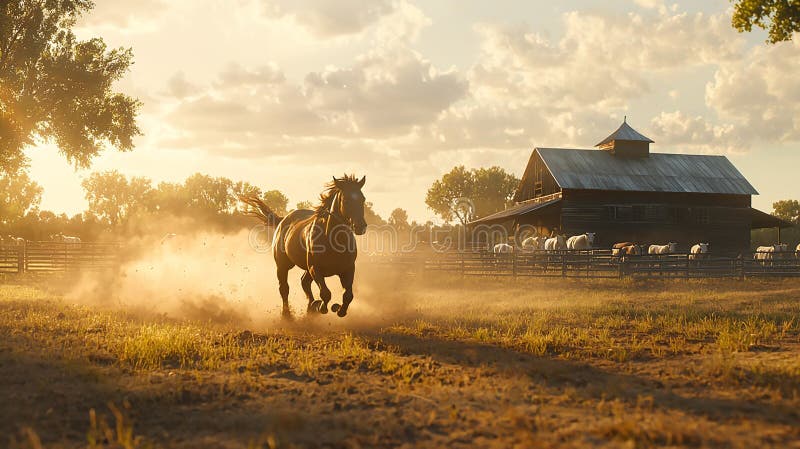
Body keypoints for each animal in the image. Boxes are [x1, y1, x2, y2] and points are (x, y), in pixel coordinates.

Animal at [239, 175, 367, 318]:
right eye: (346, 200)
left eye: (362, 198)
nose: (361, 226)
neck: (333, 239)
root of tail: (283, 219)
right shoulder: (315, 268)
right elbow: (325, 294)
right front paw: (321, 307)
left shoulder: (348, 269)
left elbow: (348, 295)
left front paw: (339, 309)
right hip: (283, 265)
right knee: (284, 288)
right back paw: (287, 314)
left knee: (304, 282)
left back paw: (309, 308)